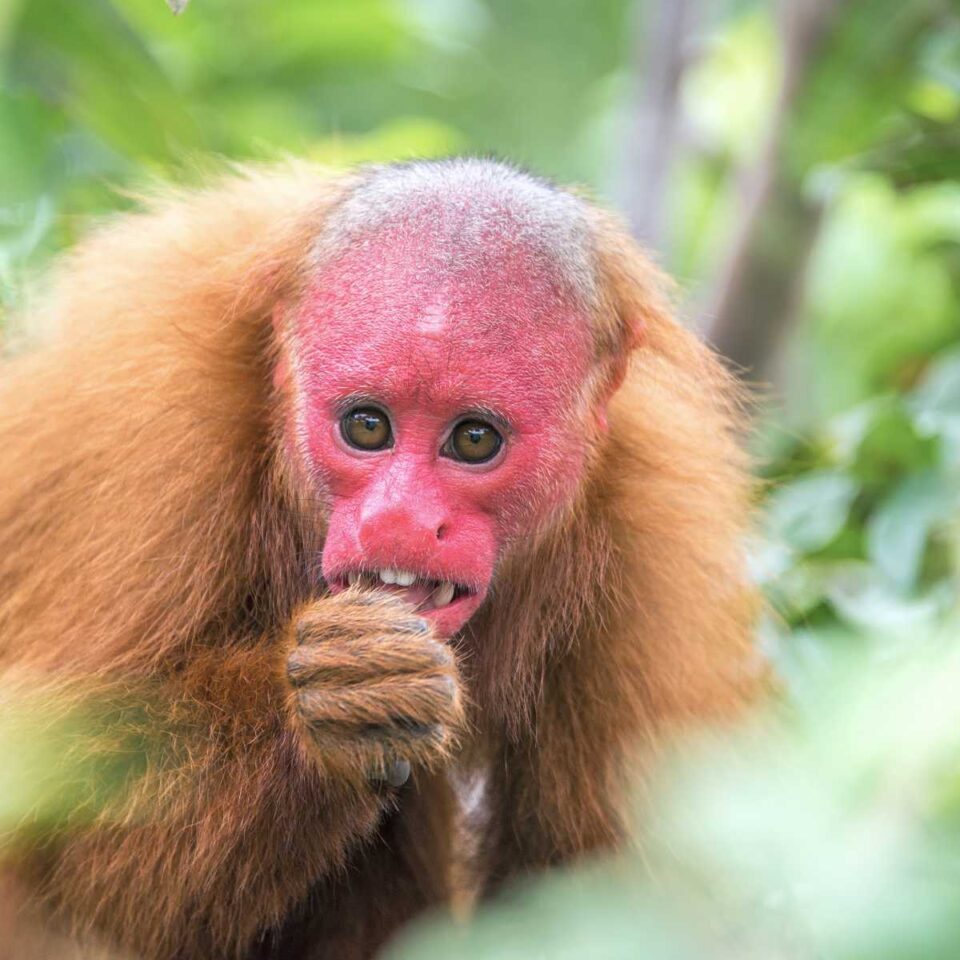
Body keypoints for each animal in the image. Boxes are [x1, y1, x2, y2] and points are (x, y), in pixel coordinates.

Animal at [0, 158, 757, 960]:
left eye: (475, 439)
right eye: (367, 425)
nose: (398, 519)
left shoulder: (653, 539)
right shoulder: (142, 440)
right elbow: (65, 847)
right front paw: (327, 704)